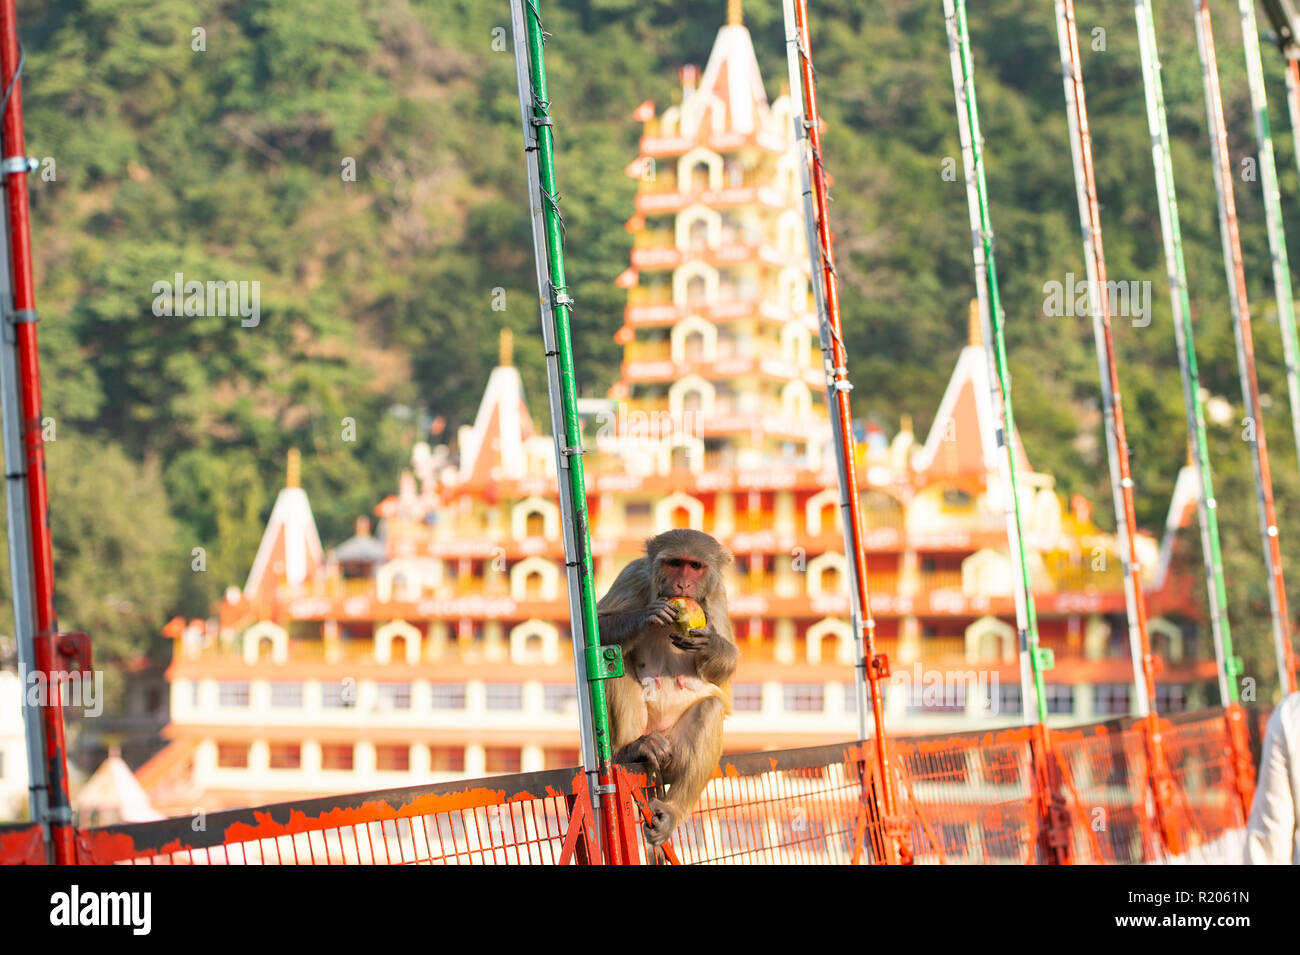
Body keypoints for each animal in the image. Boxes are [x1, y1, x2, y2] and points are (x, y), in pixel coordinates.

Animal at [596, 528, 739, 847]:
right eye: (675, 563)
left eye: (695, 566)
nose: (682, 584)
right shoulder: (633, 574)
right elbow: (596, 629)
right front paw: (645, 617)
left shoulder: (718, 595)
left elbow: (726, 670)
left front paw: (711, 645)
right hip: (648, 733)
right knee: (613, 659)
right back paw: (630, 750)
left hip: (675, 751)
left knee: (710, 707)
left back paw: (671, 810)